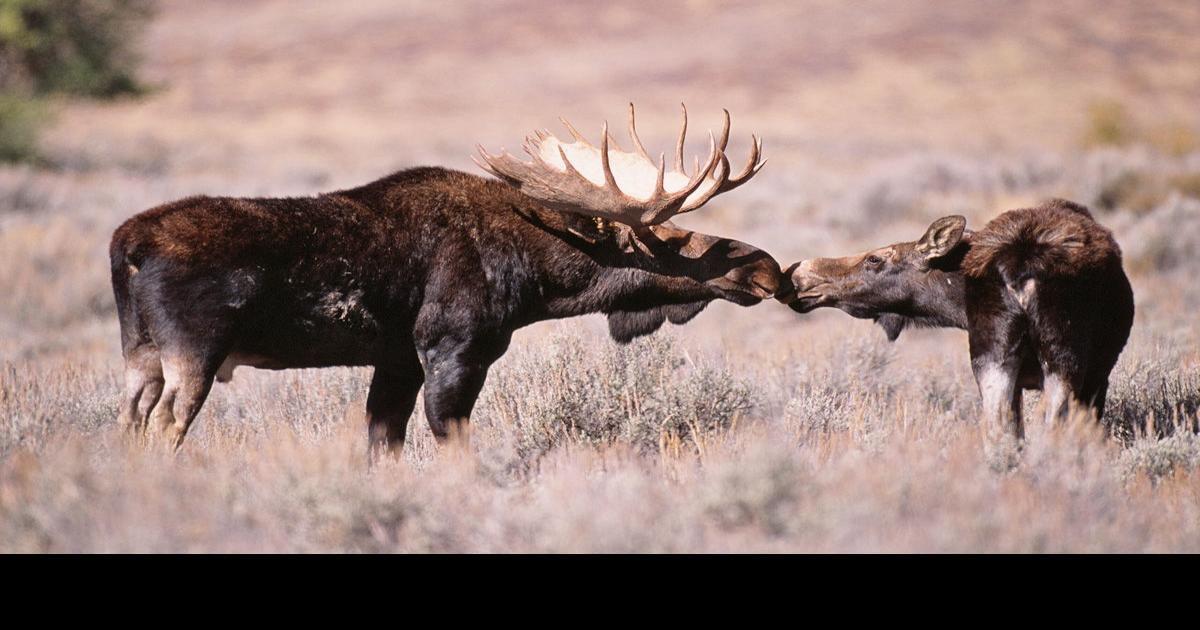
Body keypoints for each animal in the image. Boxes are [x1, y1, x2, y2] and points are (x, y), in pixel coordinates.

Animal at [110, 105, 784, 453]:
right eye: (671, 243)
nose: (767, 268)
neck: (540, 278)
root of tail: (127, 245)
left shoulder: (397, 360)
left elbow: (383, 441)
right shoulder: (454, 347)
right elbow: (451, 439)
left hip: (141, 356)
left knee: (129, 420)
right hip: (193, 354)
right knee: (165, 425)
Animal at [778, 199, 1134, 443]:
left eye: (874, 259)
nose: (800, 273)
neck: (957, 304)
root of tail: (1020, 267)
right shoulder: (1097, 376)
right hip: (1058, 359)